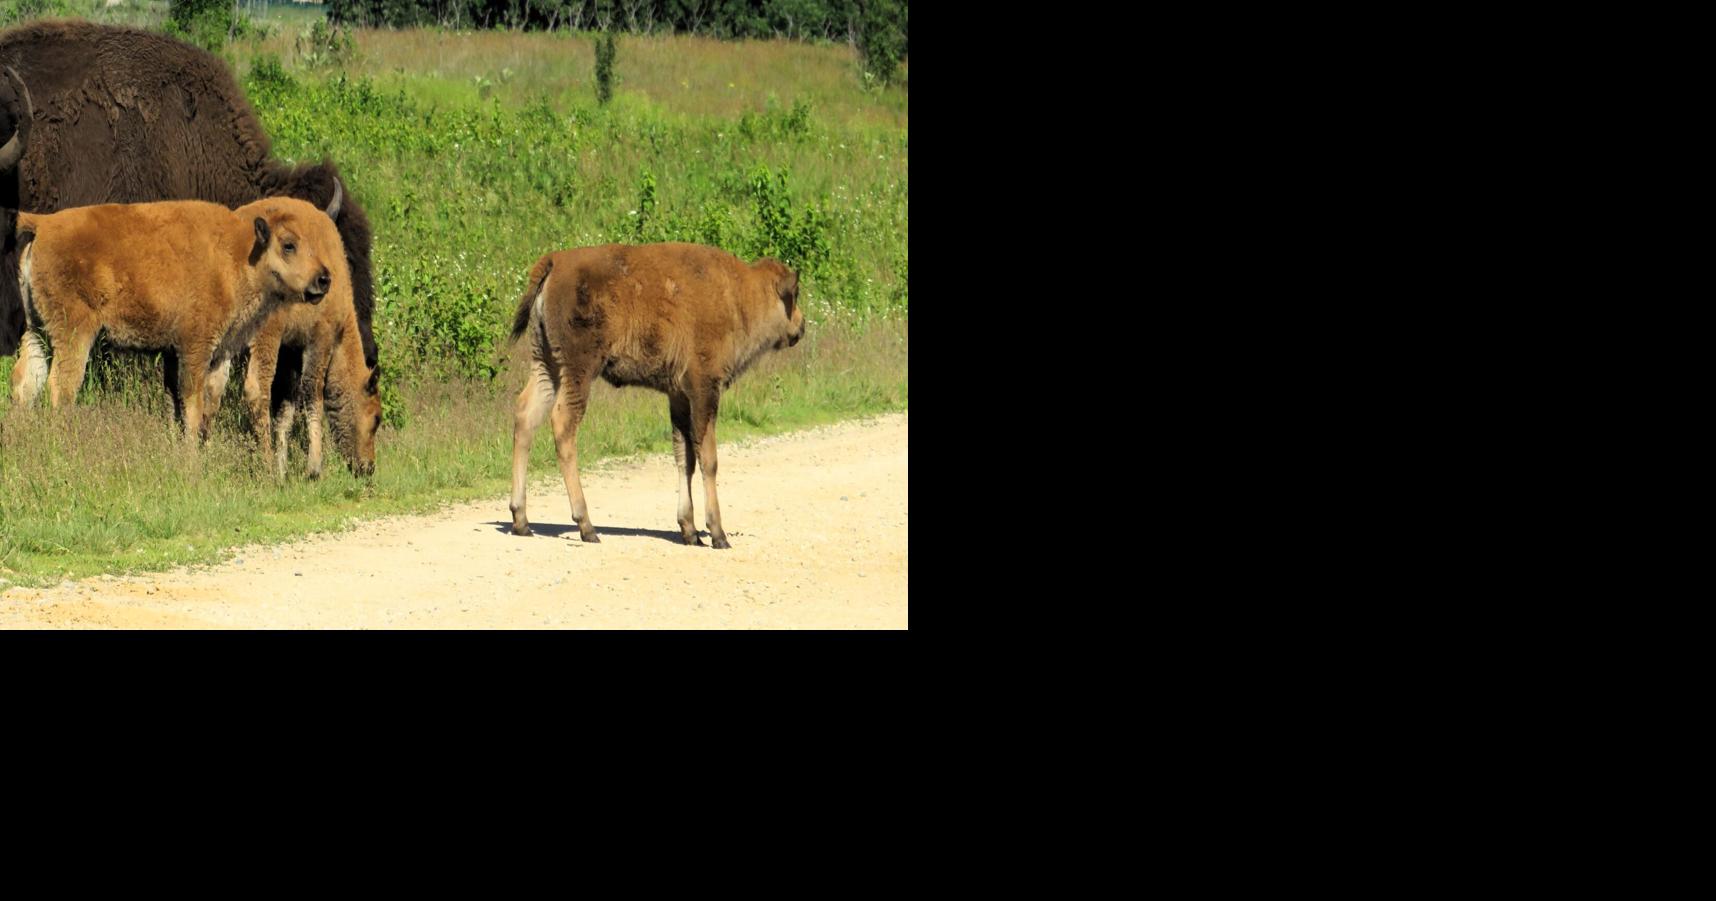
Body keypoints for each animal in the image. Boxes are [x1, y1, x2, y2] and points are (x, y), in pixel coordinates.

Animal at [10, 194, 344, 446]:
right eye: (289, 245)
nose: (324, 279)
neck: (238, 253)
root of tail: (45, 223)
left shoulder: (211, 353)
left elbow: (205, 403)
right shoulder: (194, 346)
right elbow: (192, 404)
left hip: (37, 330)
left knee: (24, 383)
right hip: (73, 334)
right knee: (60, 388)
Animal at [505, 242, 807, 548]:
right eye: (794, 296)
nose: (801, 324)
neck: (738, 295)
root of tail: (555, 261)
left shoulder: (679, 397)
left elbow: (684, 458)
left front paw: (690, 531)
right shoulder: (704, 390)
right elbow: (708, 459)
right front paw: (717, 534)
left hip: (546, 364)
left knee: (526, 415)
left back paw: (521, 521)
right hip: (578, 369)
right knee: (563, 424)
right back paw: (586, 526)